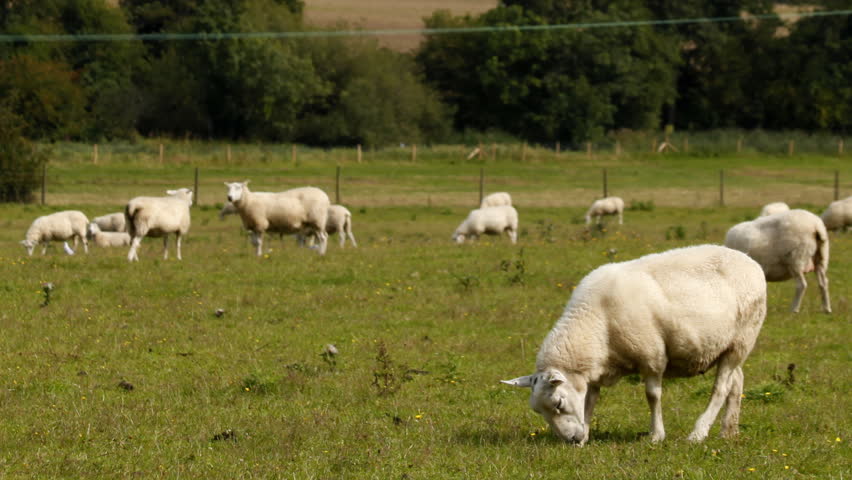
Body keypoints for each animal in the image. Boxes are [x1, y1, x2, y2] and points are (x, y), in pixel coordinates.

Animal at [503, 245, 767, 444]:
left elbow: (653, 396)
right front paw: (586, 435)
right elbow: (590, 400)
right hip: (728, 346)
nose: (571, 440)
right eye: (539, 411)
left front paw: (656, 435)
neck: (597, 324)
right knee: (736, 381)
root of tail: (749, 260)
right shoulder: (596, 370)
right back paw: (728, 431)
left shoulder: (652, 356)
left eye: (558, 403)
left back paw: (698, 433)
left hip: (743, 339)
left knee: (720, 388)